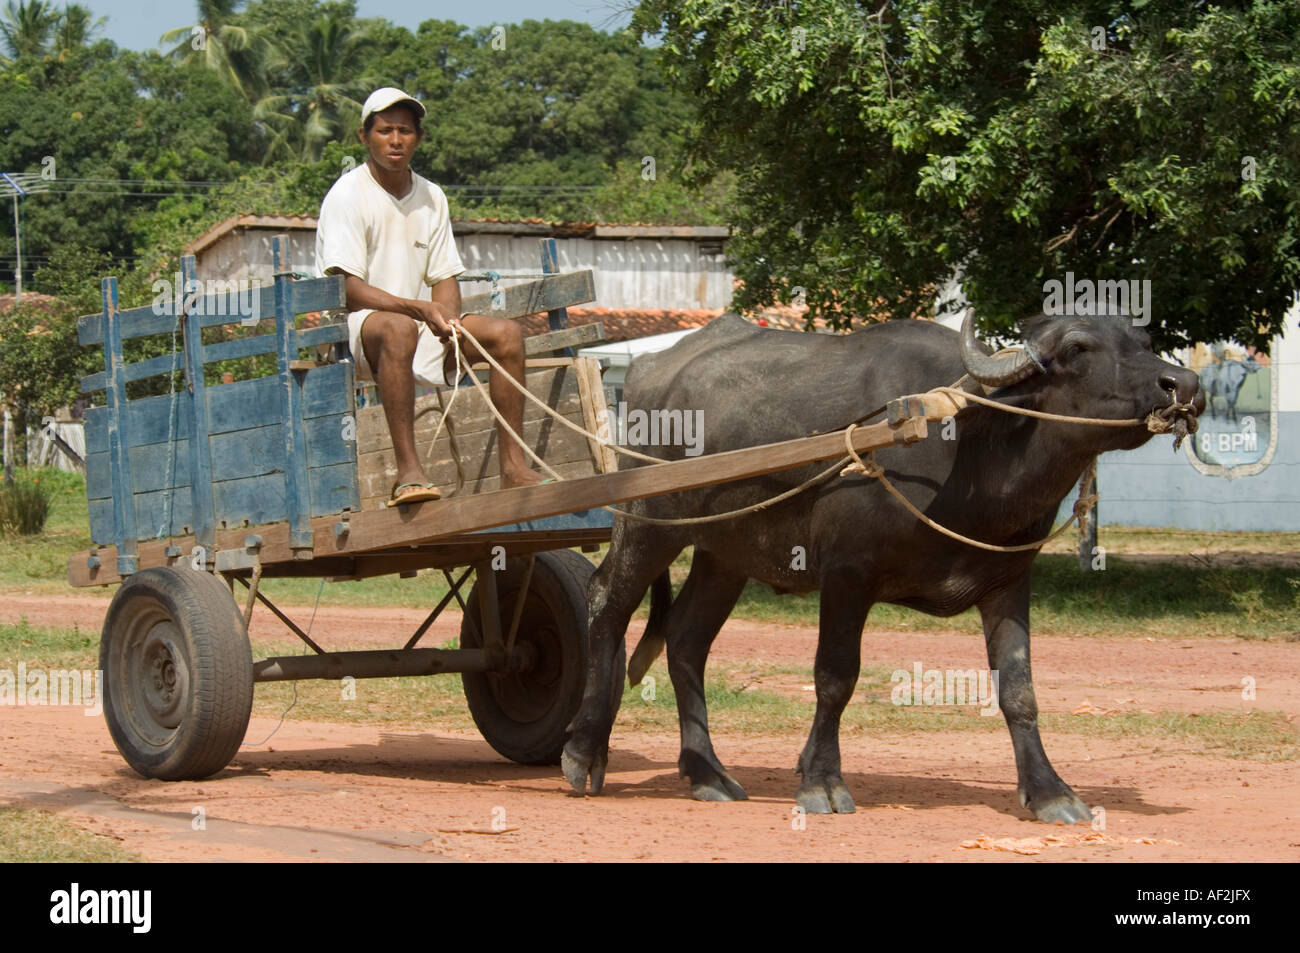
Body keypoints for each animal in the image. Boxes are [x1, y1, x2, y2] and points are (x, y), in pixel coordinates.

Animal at [562, 309, 1202, 823]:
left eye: (1143, 340)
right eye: (1076, 348)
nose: (1186, 385)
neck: (967, 445)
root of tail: (647, 368)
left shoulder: (1009, 580)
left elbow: (1019, 690)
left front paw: (1050, 792)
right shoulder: (848, 574)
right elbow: (835, 676)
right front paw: (822, 782)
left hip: (724, 551)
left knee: (687, 639)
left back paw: (706, 773)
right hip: (649, 519)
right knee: (606, 602)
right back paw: (583, 752)